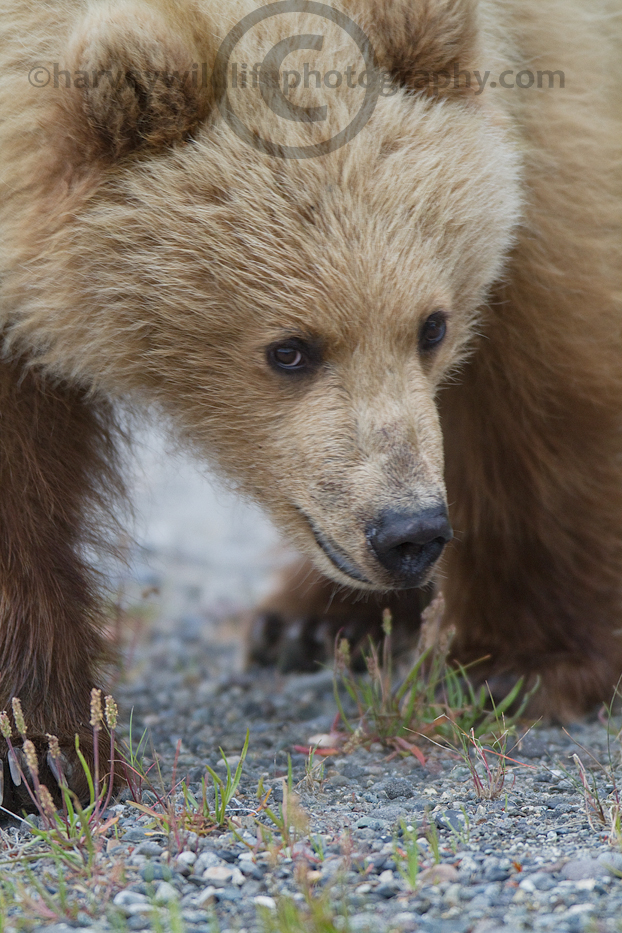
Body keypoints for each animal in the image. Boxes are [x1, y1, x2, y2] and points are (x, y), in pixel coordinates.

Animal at [0, 0, 620, 810]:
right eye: (289, 348)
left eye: (433, 325)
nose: (410, 531)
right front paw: (49, 752)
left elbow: (542, 348)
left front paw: (520, 663)